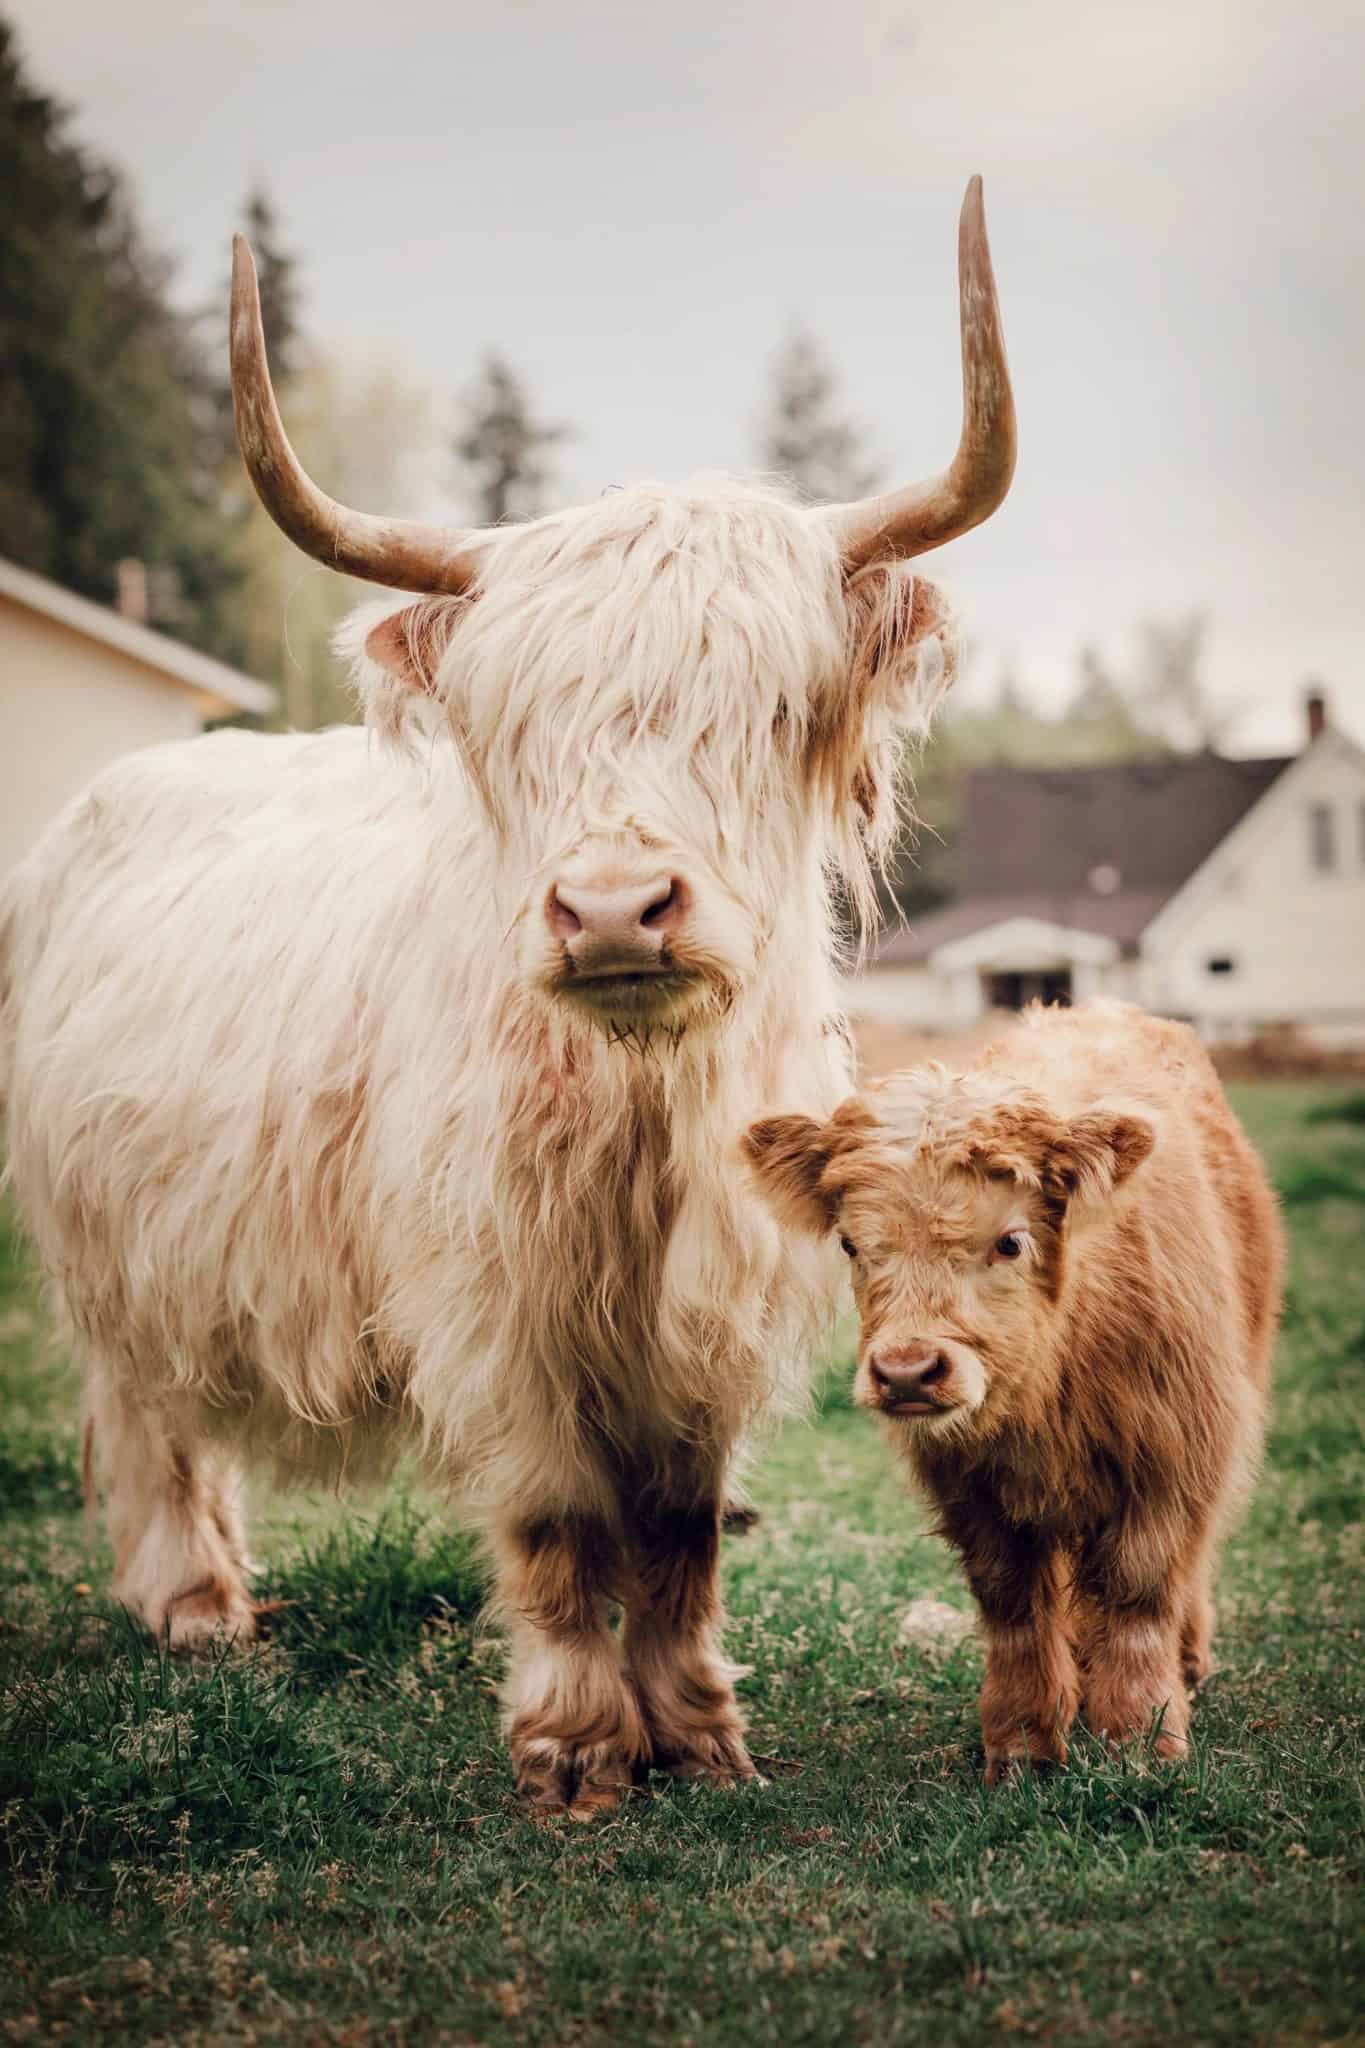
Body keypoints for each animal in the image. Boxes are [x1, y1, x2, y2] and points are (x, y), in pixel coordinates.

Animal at [0, 181, 1015, 1817]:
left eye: (767, 707)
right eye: (510, 720)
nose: (611, 908)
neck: (638, 1116)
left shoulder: (706, 1324)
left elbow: (677, 1532)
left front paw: (697, 1734)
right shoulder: (494, 1306)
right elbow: (554, 1523)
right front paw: (576, 1749)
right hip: (107, 1249)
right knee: (148, 1417)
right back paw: (196, 1606)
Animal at [743, 1002, 1282, 1779]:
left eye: (1009, 1240)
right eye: (850, 1244)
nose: (907, 1371)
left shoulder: (1170, 1458)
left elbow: (1138, 1596)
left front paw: (1140, 1741)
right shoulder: (972, 1492)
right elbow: (1014, 1606)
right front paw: (1023, 1745)